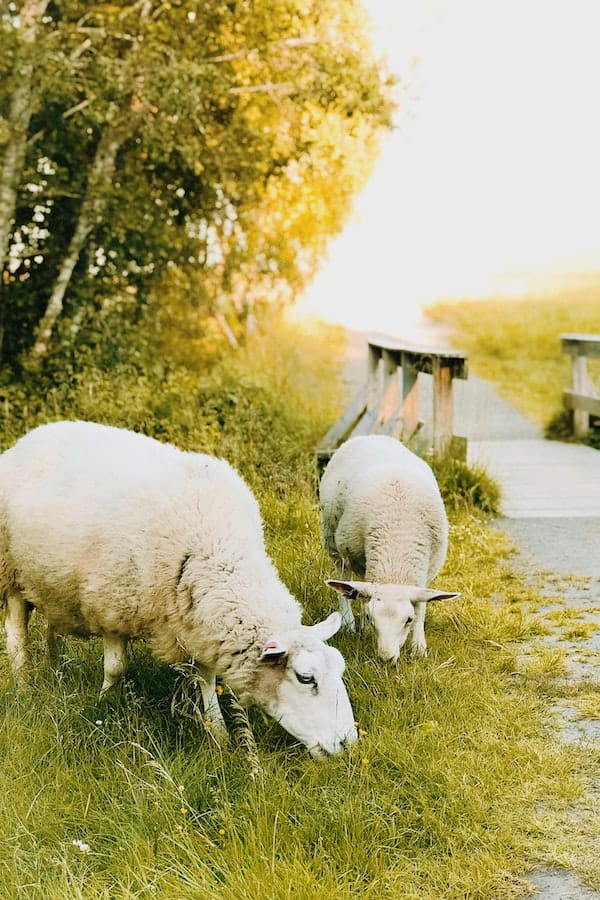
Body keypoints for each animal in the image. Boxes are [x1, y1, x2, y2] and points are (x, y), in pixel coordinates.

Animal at [0, 420, 358, 757]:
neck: (216, 550)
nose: (348, 743)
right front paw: (103, 704)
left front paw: (218, 732)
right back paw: (24, 684)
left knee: (53, 630)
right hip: (12, 575)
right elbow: (115, 668)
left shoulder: (200, 621)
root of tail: (30, 438)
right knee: (17, 634)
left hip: (51, 584)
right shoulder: (112, 606)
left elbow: (206, 678)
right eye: (306, 678)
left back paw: (56, 671)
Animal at [319, 434, 460, 663]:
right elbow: (361, 593)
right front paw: (366, 628)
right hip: (334, 539)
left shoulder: (426, 571)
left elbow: (422, 604)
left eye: (408, 619)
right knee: (342, 576)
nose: (386, 658)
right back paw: (348, 622)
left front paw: (419, 647)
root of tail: (371, 436)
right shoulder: (359, 559)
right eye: (371, 616)